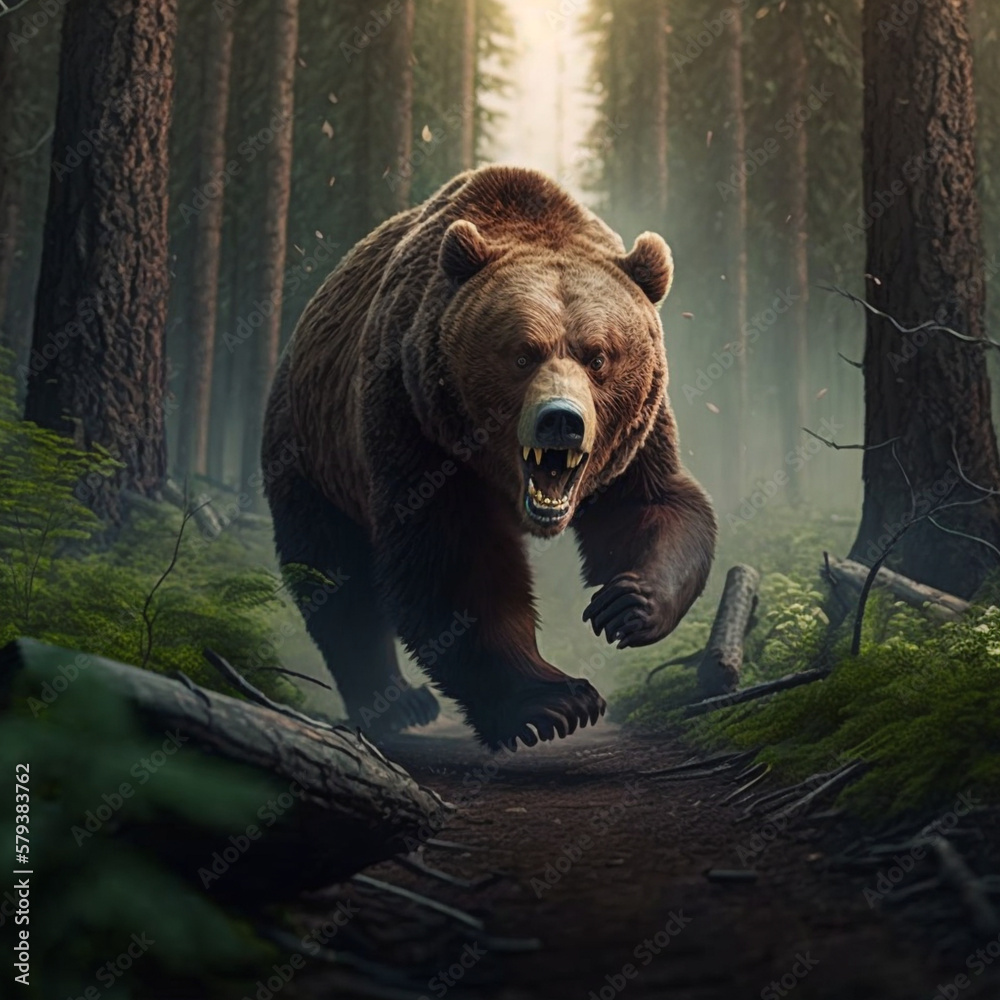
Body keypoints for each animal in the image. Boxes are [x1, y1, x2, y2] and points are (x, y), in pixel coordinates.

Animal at [262, 165, 716, 750]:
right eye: (522, 354)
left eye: (598, 356)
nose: (561, 419)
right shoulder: (414, 419)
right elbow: (455, 560)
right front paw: (553, 702)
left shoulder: (636, 436)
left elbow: (654, 506)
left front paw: (626, 605)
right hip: (312, 453)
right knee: (337, 583)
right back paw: (397, 704)